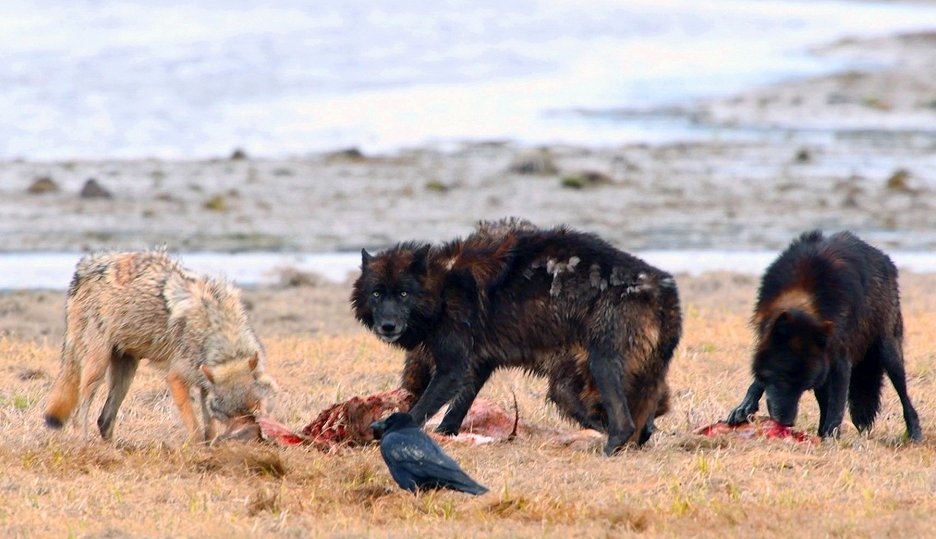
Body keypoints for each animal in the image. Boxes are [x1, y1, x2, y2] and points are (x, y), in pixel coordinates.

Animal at [43, 251, 277, 442]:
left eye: (255, 409)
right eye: (229, 416)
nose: (253, 437)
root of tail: (83, 270)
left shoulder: (203, 383)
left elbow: (209, 428)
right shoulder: (176, 378)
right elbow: (194, 428)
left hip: (126, 372)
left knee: (104, 420)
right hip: (97, 369)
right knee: (79, 415)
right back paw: (84, 446)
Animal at [352, 219, 681, 455]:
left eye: (403, 293)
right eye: (377, 293)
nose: (388, 325)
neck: (443, 289)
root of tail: (662, 285)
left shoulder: (452, 368)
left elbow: (419, 409)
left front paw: (396, 427)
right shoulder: (480, 364)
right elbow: (455, 412)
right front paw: (447, 436)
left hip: (598, 368)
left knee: (624, 425)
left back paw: (609, 450)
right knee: (644, 423)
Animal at [725, 231, 922, 441]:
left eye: (803, 386)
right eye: (783, 378)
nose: (787, 423)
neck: (803, 296)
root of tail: (885, 258)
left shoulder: (840, 360)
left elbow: (837, 405)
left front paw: (831, 436)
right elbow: (758, 380)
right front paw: (744, 407)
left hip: (888, 355)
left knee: (904, 396)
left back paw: (914, 433)